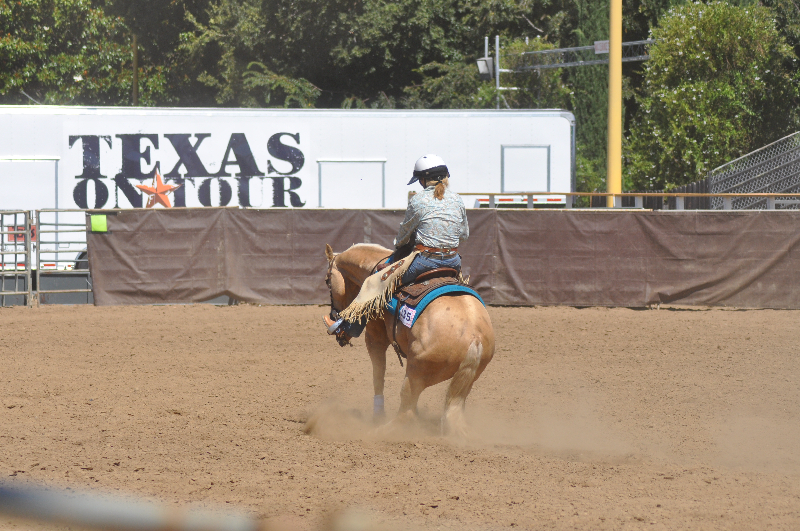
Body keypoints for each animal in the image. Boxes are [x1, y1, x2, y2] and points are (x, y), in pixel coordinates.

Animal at [323, 243, 495, 437]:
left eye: (327, 280)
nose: (333, 316)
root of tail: (474, 339)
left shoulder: (375, 336)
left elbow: (378, 374)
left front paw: (378, 415)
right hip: (465, 379)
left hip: (416, 374)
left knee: (406, 413)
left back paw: (377, 432)